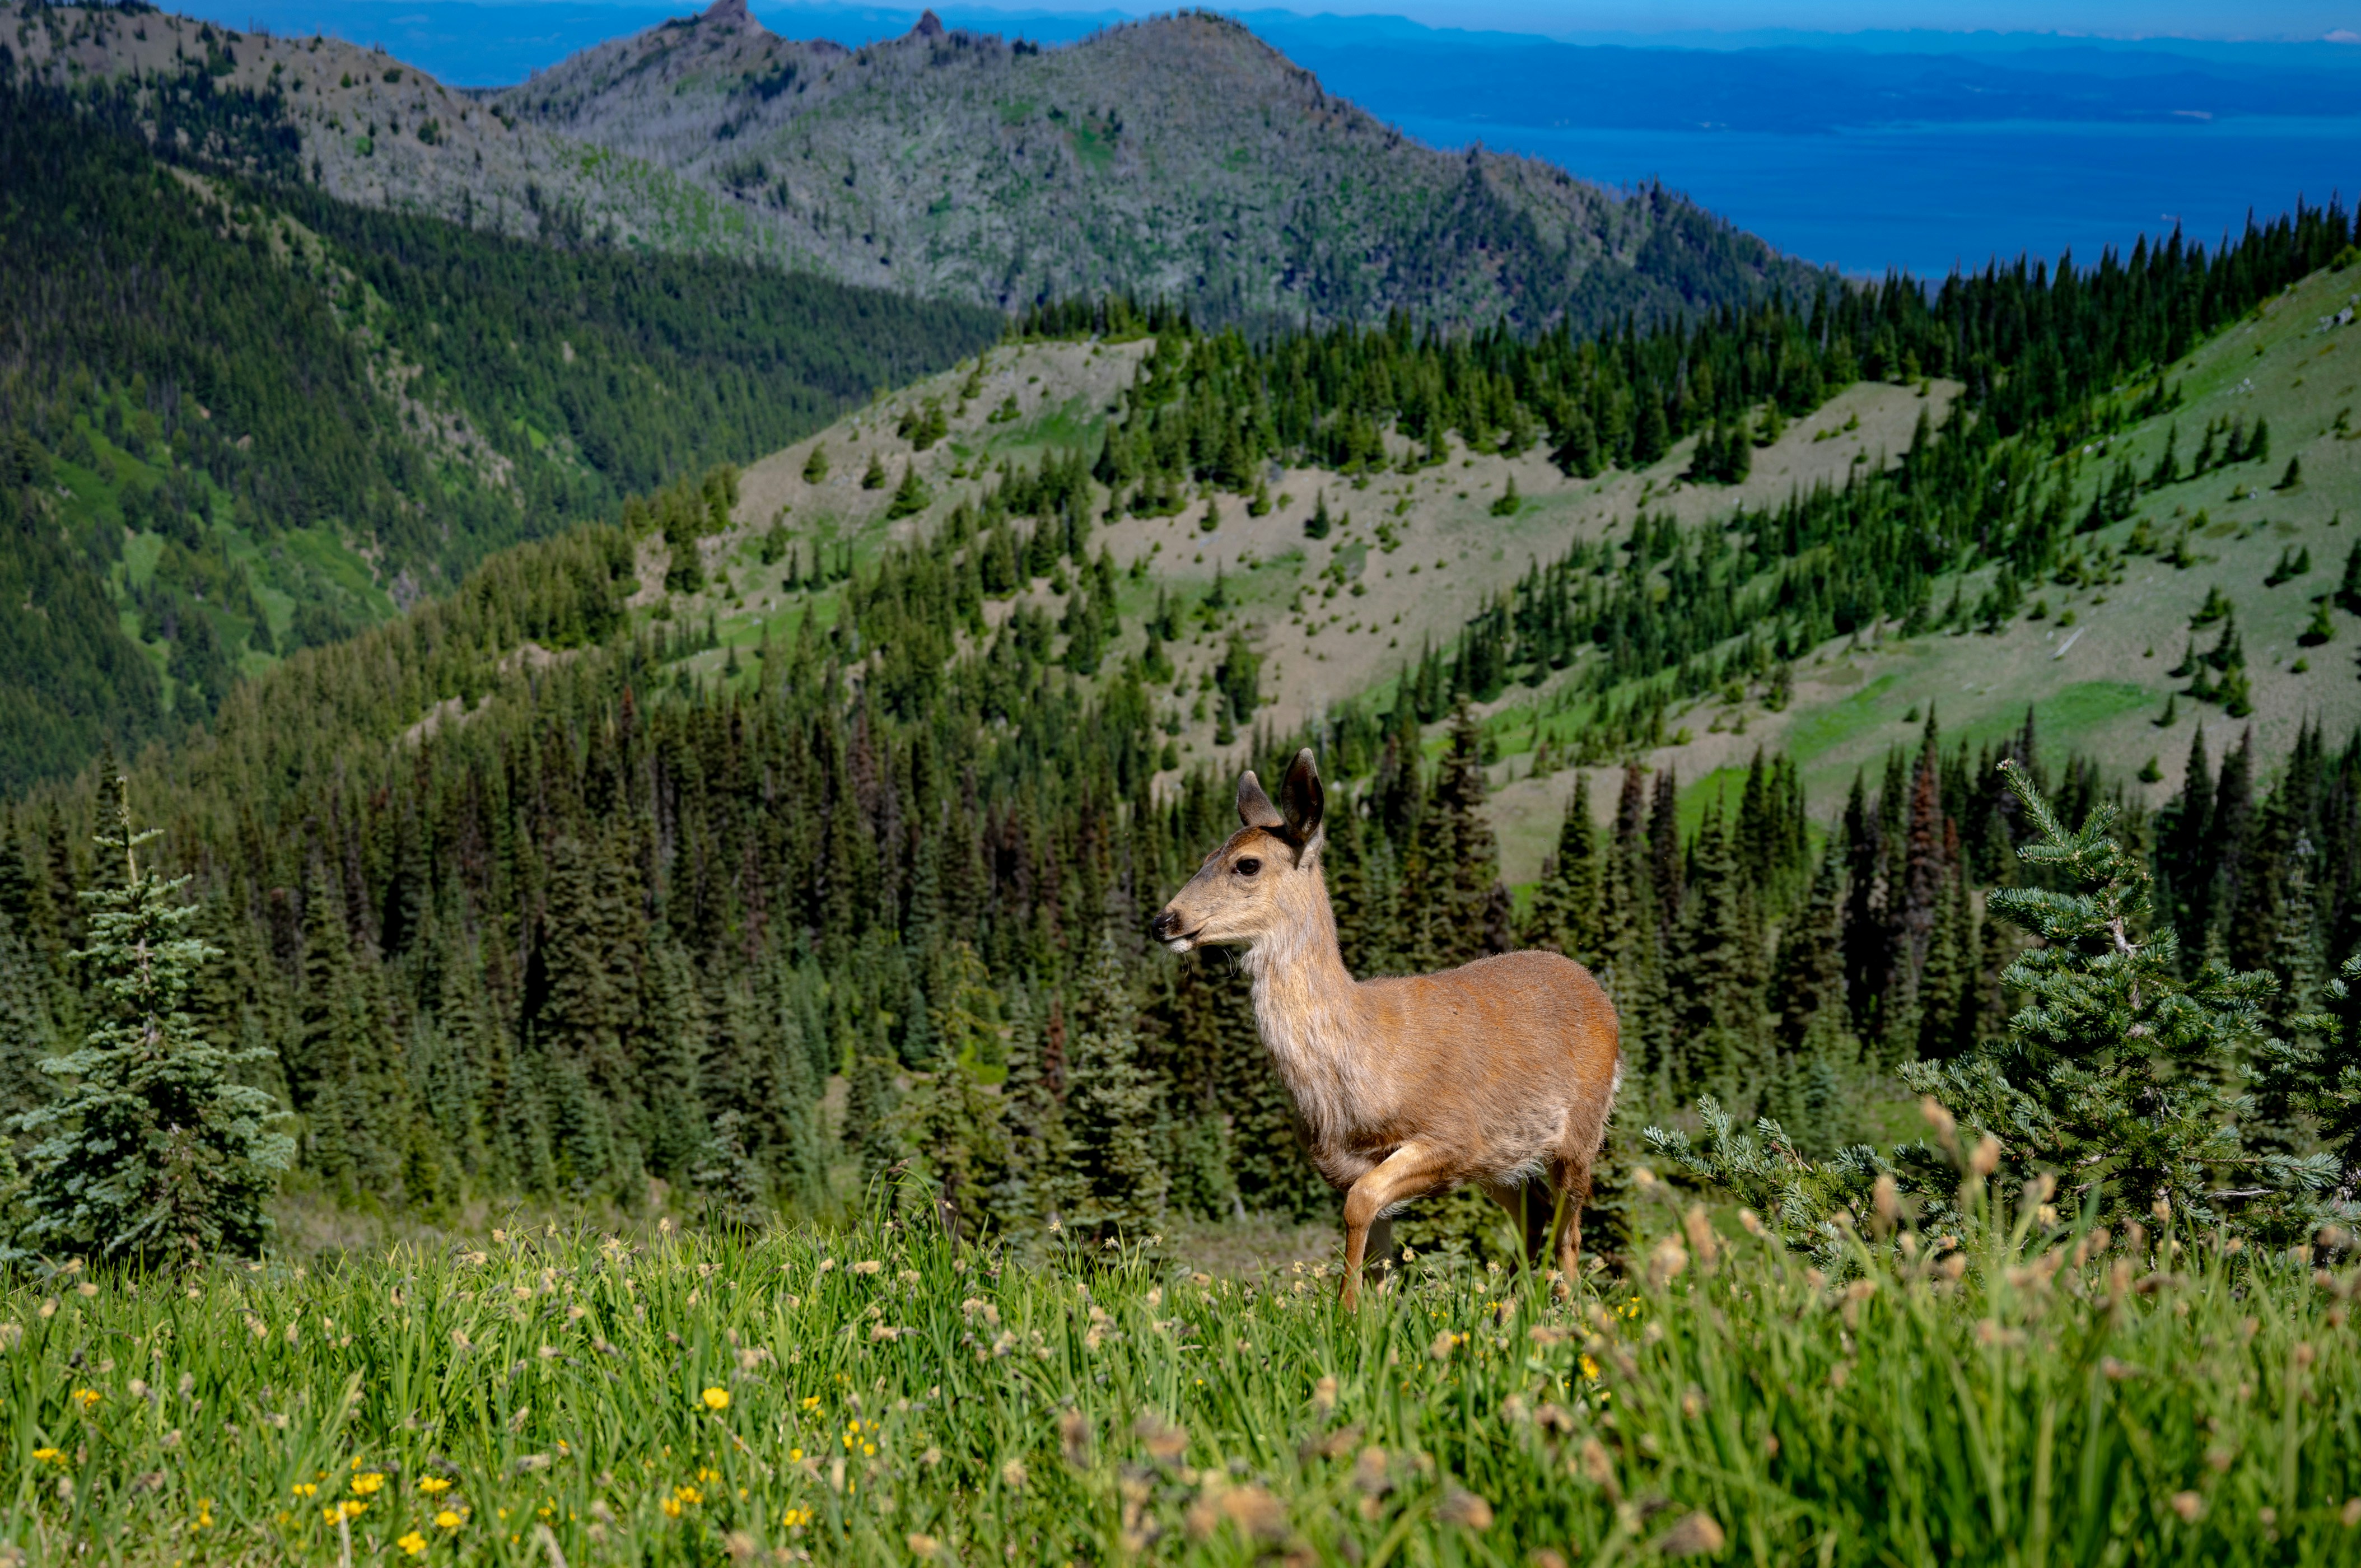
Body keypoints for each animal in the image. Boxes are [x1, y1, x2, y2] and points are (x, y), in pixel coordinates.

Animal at [1151, 749, 1621, 1308]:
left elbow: (1361, 1205)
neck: (1358, 1057)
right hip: (1502, 1161)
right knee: (1536, 1217)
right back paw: (1515, 1304)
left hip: (1582, 1129)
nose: (1164, 921)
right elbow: (1371, 1237)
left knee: (1569, 1227)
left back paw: (1568, 1307)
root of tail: (1595, 988)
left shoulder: (1453, 1136)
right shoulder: (1353, 1162)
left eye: (1247, 864)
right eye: (1205, 855)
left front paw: (1345, 1310)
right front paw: (1367, 1313)